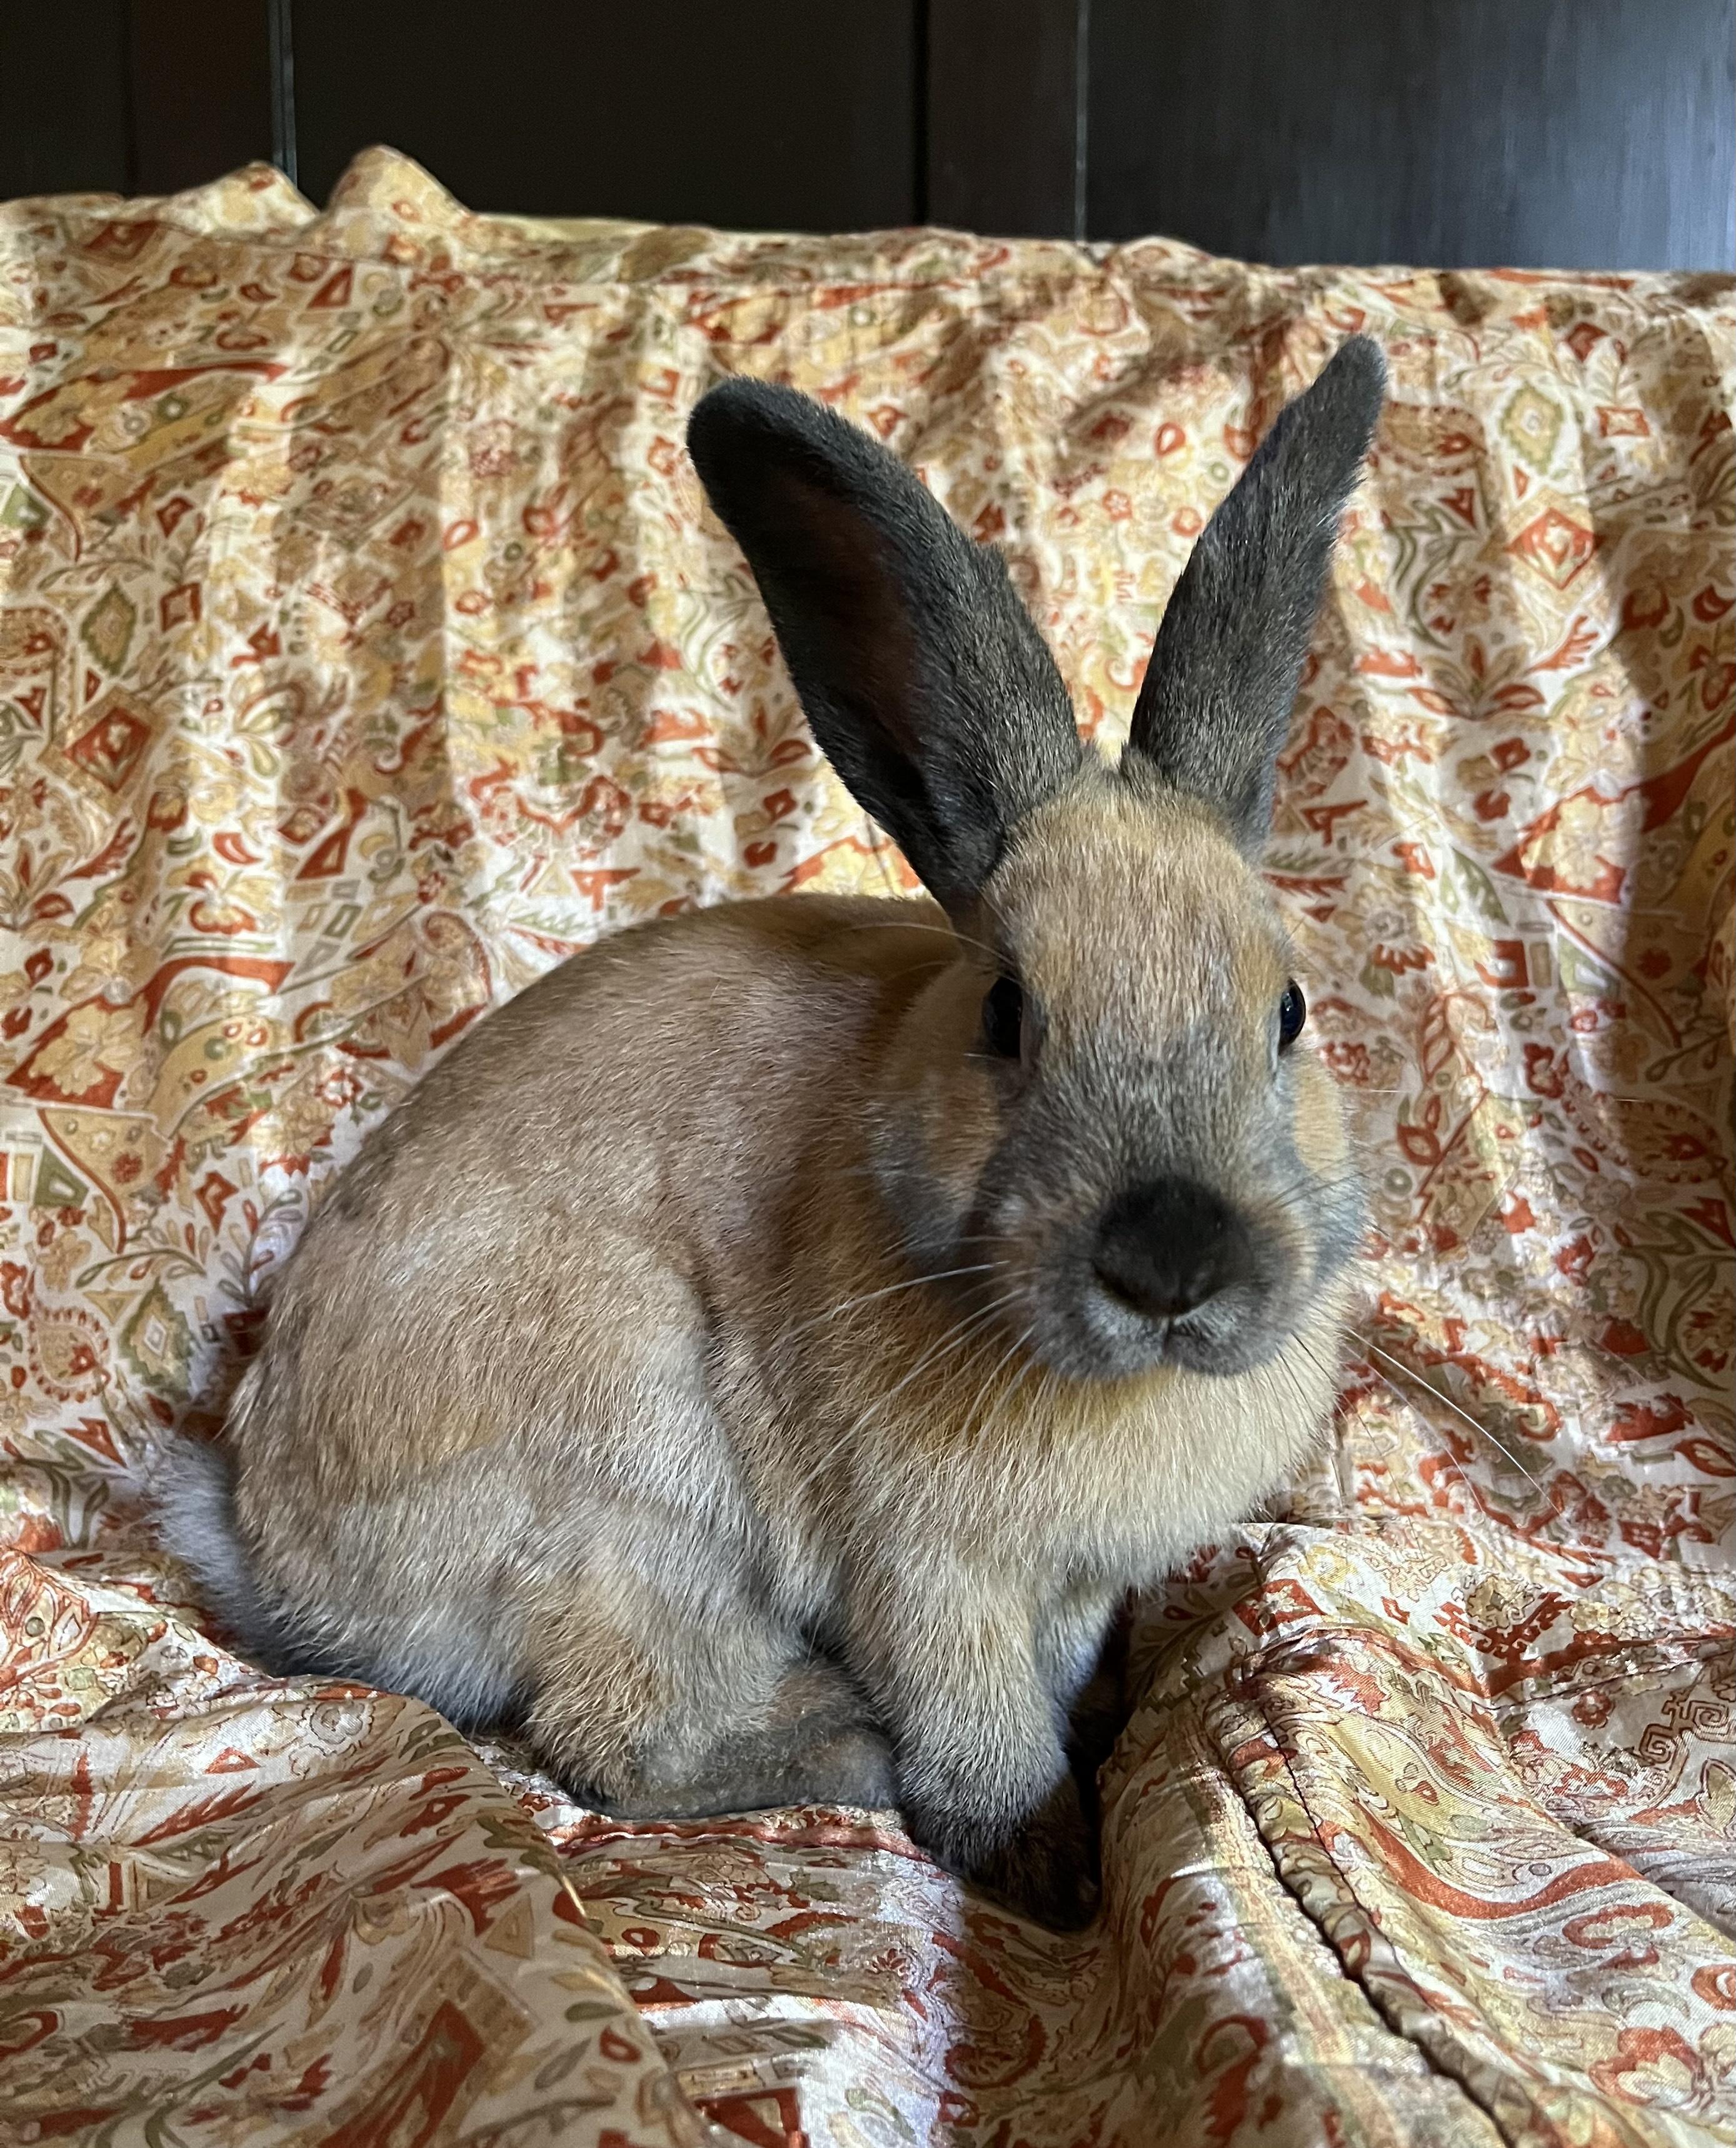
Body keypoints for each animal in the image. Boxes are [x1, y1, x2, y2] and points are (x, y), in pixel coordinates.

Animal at [155, 335, 1385, 1930]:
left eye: (1286, 1007)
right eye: (1006, 1012)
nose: (1172, 1256)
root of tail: (263, 1547)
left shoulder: (1063, 1590)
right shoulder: (928, 1573)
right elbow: (982, 1735)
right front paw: (1048, 1868)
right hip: (644, 1500)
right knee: (608, 1740)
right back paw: (839, 1740)